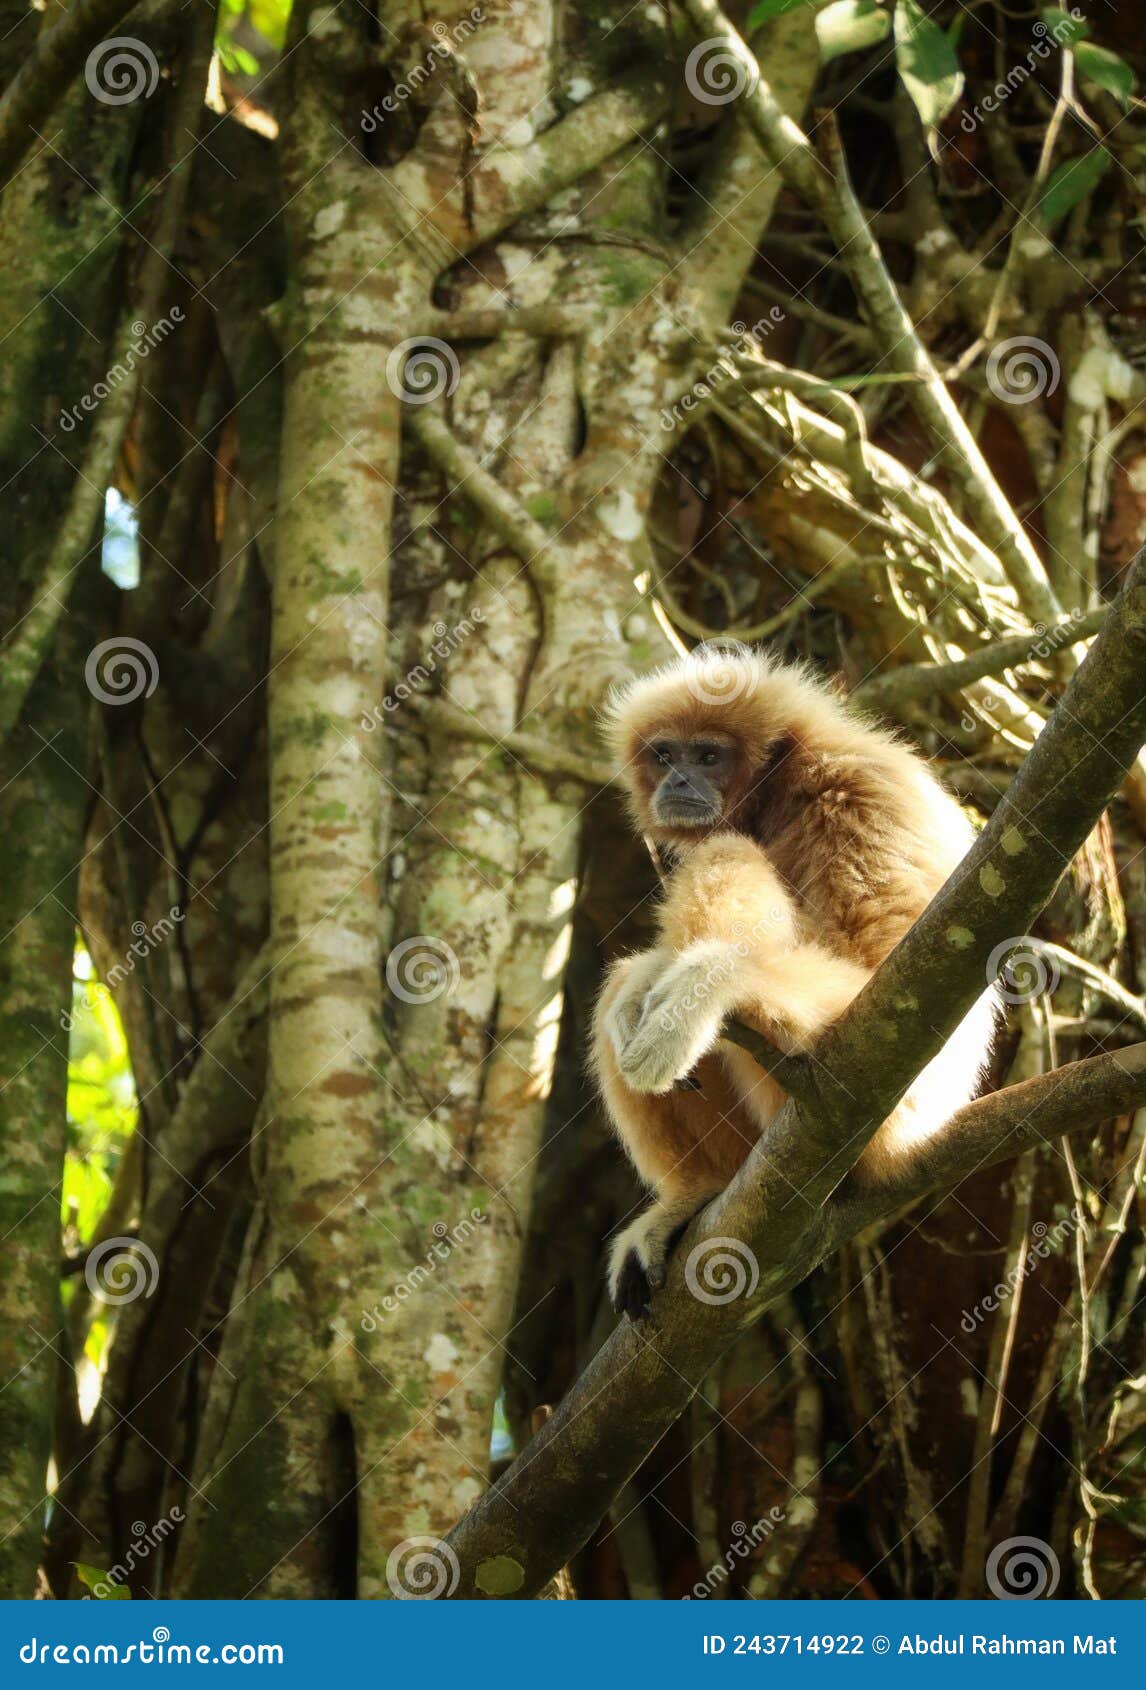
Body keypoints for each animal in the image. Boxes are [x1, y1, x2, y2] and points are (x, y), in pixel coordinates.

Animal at [591, 645, 999, 1320]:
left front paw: (716, 979)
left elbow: (893, 982)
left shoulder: (858, 793)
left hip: (875, 1120)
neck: (780, 790)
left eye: (708, 756)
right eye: (665, 754)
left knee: (728, 855)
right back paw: (697, 1193)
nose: (679, 782)